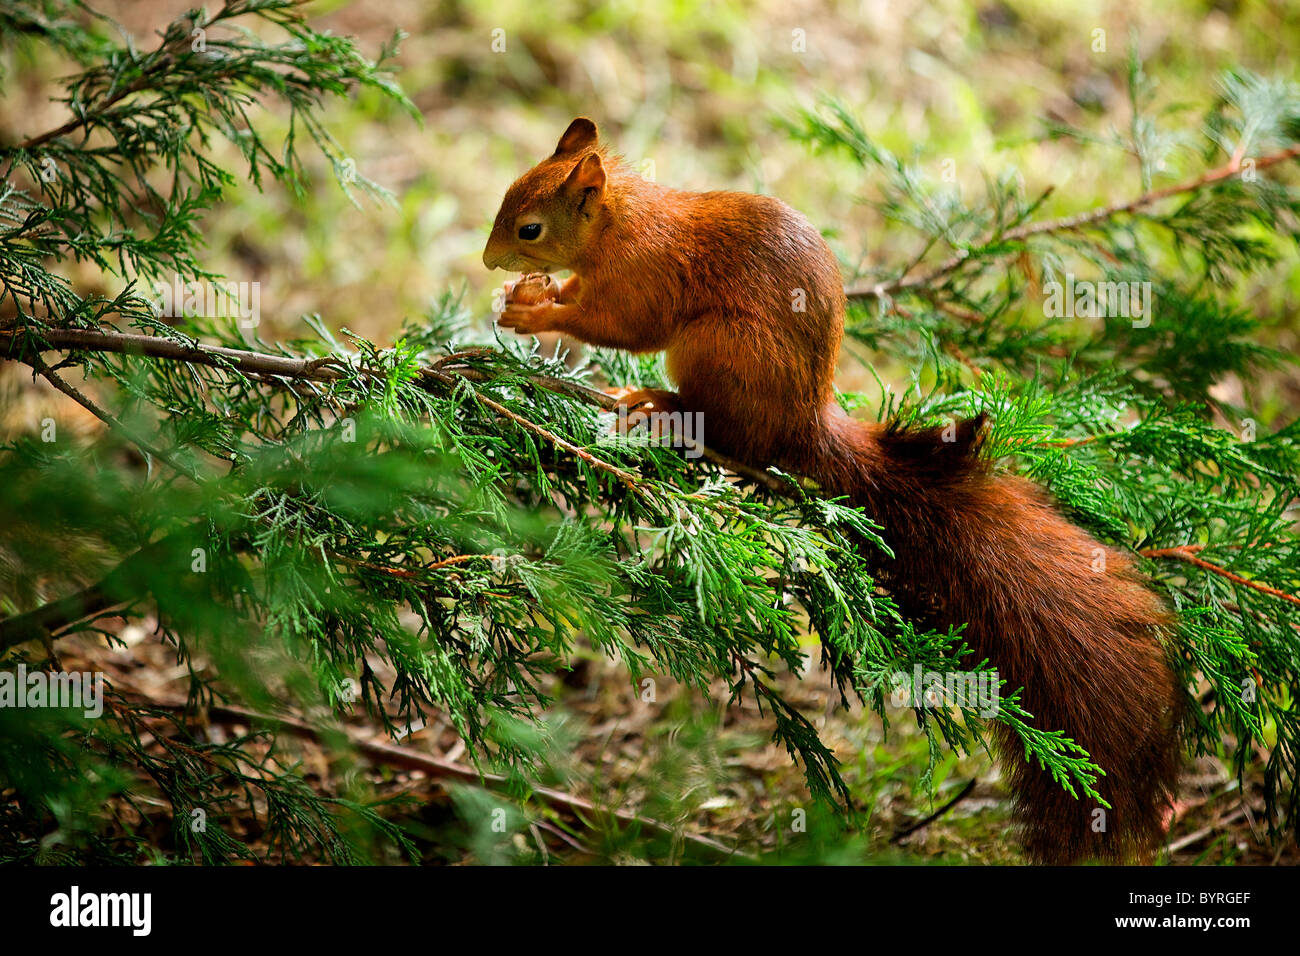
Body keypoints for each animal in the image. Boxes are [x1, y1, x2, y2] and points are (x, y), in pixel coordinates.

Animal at [483, 117, 1184, 864]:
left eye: (529, 228)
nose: (490, 259)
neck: (621, 220)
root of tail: (803, 423)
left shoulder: (643, 276)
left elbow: (619, 325)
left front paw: (538, 311)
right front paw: (529, 297)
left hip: (719, 348)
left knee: (727, 431)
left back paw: (663, 407)